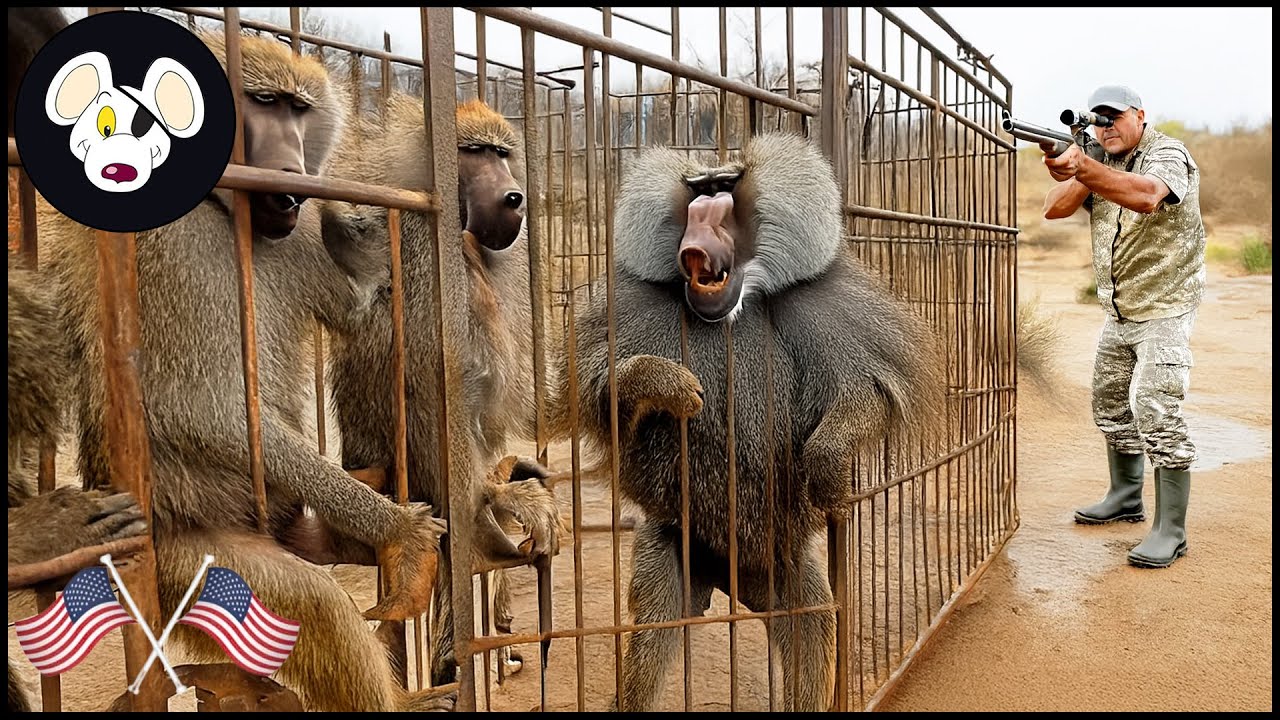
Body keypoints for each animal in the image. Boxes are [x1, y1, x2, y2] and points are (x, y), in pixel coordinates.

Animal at [39, 33, 453, 711]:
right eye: (263, 103)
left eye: (298, 109)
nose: (294, 170)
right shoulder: (164, 245)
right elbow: (202, 407)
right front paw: (402, 532)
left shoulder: (299, 230)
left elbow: (361, 307)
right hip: (183, 561)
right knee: (318, 605)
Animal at [319, 95, 563, 687]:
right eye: (472, 153)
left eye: (501, 152)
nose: (513, 197)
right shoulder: (425, 253)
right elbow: (444, 382)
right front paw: (503, 498)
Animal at [549, 133, 947, 711]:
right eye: (698, 191)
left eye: (725, 189)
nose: (697, 226)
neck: (736, 309)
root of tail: (730, 579)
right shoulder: (627, 311)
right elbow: (606, 399)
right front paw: (662, 382)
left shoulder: (828, 308)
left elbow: (868, 396)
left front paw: (828, 468)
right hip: (675, 544)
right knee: (651, 638)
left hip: (785, 567)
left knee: (813, 629)